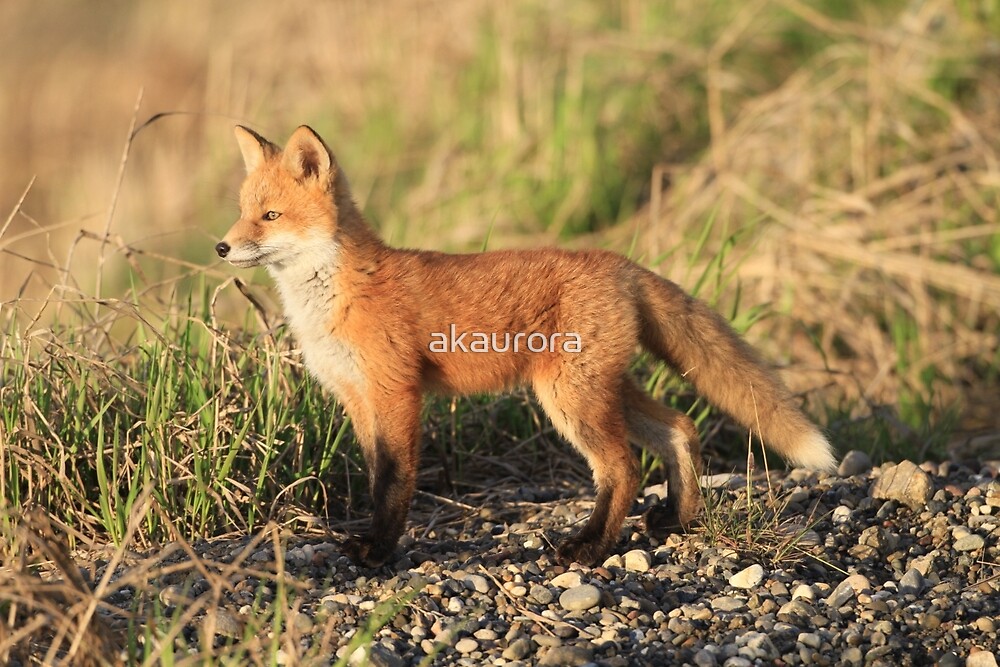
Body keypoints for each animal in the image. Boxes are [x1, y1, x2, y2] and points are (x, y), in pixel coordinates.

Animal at [215, 125, 837, 568]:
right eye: (243, 211)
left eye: (270, 216)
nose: (221, 247)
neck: (340, 293)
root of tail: (618, 262)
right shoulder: (355, 396)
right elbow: (375, 476)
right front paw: (372, 541)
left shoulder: (396, 392)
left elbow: (393, 482)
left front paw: (379, 551)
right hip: (599, 389)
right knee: (680, 428)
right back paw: (677, 521)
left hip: (568, 398)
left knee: (624, 469)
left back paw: (589, 548)